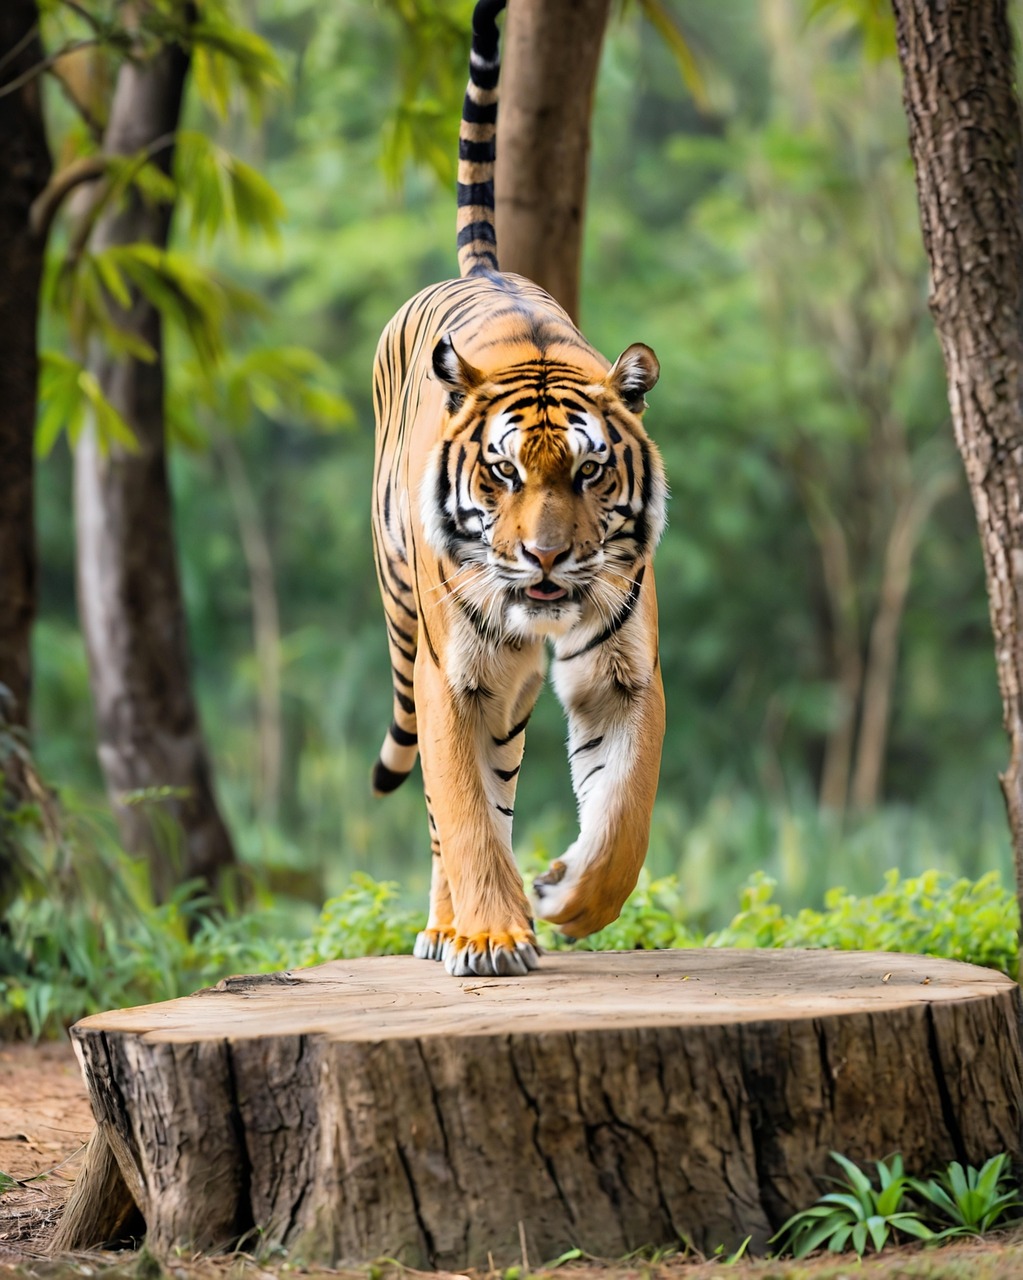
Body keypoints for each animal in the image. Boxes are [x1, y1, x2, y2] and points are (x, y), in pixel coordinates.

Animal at [370, 0, 667, 977]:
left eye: (588, 471)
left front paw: (570, 895)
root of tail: (482, 270)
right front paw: (495, 933)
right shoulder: (453, 676)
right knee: (444, 805)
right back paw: (448, 928)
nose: (543, 558)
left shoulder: (622, 674)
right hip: (412, 630)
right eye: (501, 473)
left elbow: (624, 810)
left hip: (507, 699)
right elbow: (463, 813)